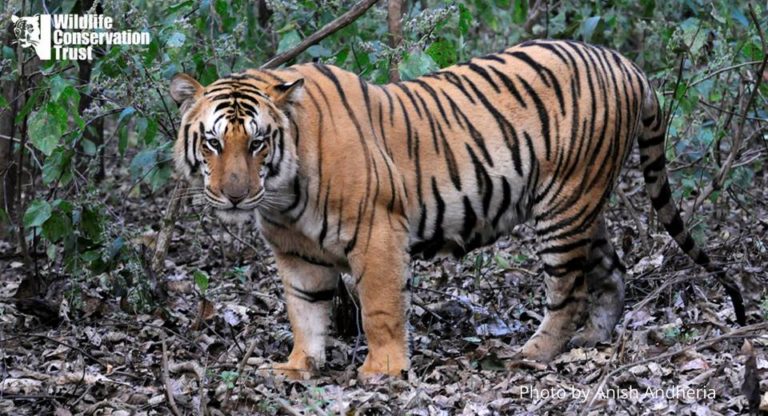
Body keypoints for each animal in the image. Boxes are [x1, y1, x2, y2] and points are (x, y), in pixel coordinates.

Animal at [169, 39, 745, 379]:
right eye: (215, 143)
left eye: (257, 142)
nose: (235, 195)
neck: (283, 194)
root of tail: (628, 64)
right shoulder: (297, 255)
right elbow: (304, 312)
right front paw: (297, 367)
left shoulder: (378, 233)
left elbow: (380, 309)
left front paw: (382, 371)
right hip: (584, 203)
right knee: (609, 269)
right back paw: (591, 340)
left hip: (563, 205)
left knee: (568, 289)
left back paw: (533, 354)